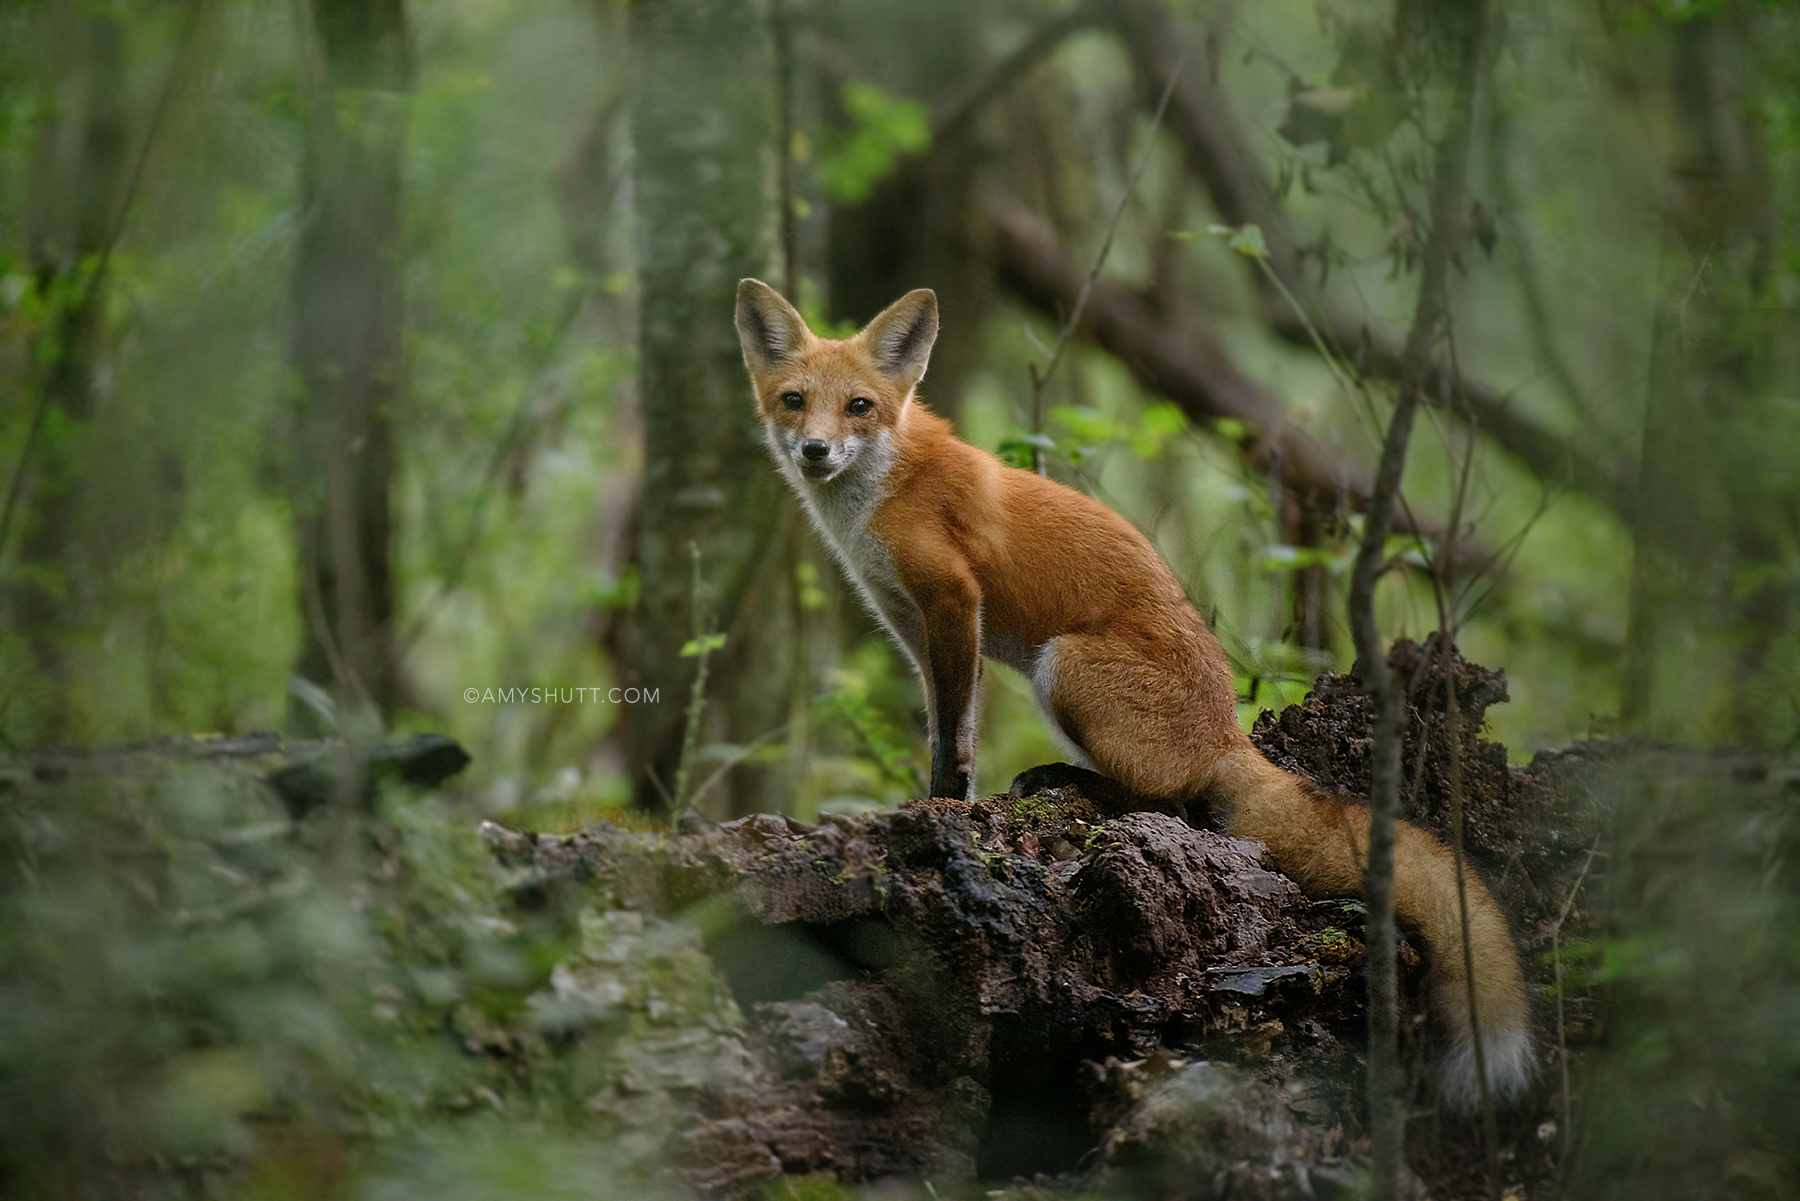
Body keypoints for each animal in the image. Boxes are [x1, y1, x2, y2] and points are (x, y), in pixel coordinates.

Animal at [734, 277, 1533, 1113]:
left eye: (858, 405)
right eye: (794, 401)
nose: (814, 451)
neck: (882, 486)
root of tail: (1228, 730)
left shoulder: (953, 599)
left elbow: (952, 745)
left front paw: (940, 811)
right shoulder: (915, 626)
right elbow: (951, 728)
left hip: (1062, 665)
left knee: (1166, 802)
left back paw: (1072, 782)